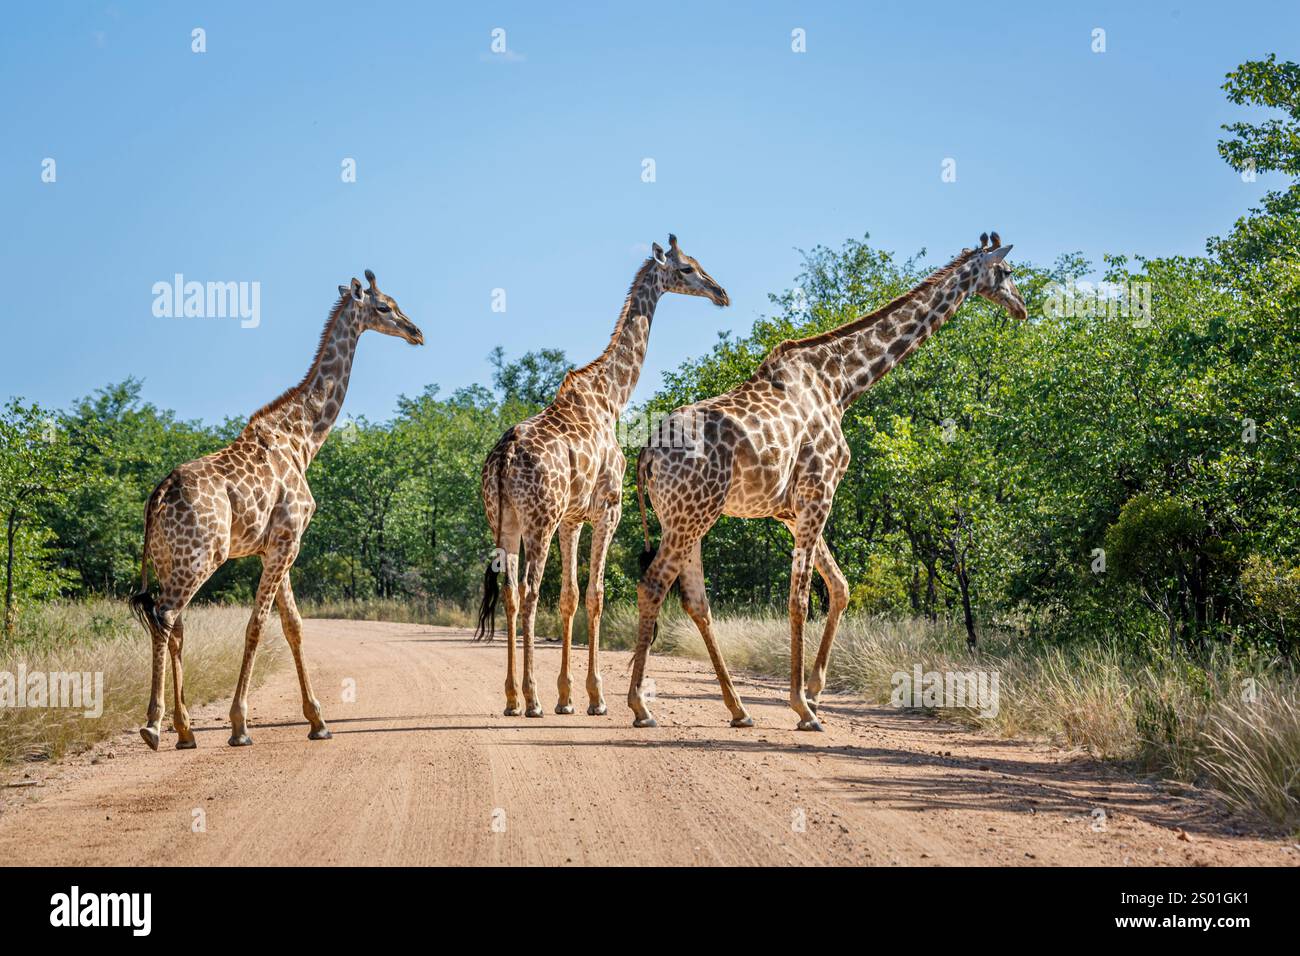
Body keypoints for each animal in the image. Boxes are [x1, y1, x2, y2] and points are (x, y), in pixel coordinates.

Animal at [129, 270, 423, 750]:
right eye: (385, 306)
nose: (416, 332)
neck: (303, 438)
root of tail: (156, 498)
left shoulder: (275, 547)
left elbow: (294, 626)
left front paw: (318, 722)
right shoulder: (288, 541)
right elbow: (258, 625)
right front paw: (239, 726)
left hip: (169, 560)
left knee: (173, 625)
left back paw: (185, 730)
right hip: (200, 557)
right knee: (166, 616)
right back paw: (153, 726)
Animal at [474, 235, 729, 719]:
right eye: (687, 267)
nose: (721, 293)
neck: (612, 396)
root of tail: (504, 458)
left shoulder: (571, 519)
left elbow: (570, 596)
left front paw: (568, 696)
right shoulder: (607, 508)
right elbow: (595, 595)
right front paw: (595, 697)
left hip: (506, 521)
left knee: (513, 594)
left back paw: (513, 698)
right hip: (538, 519)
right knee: (530, 592)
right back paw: (531, 699)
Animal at [629, 233, 1026, 730]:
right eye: (1006, 272)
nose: (1022, 306)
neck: (840, 384)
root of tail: (647, 451)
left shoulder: (790, 509)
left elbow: (839, 588)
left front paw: (815, 693)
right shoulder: (820, 491)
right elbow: (801, 598)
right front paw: (803, 707)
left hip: (686, 517)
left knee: (695, 601)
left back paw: (739, 710)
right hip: (690, 516)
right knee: (653, 586)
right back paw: (641, 706)